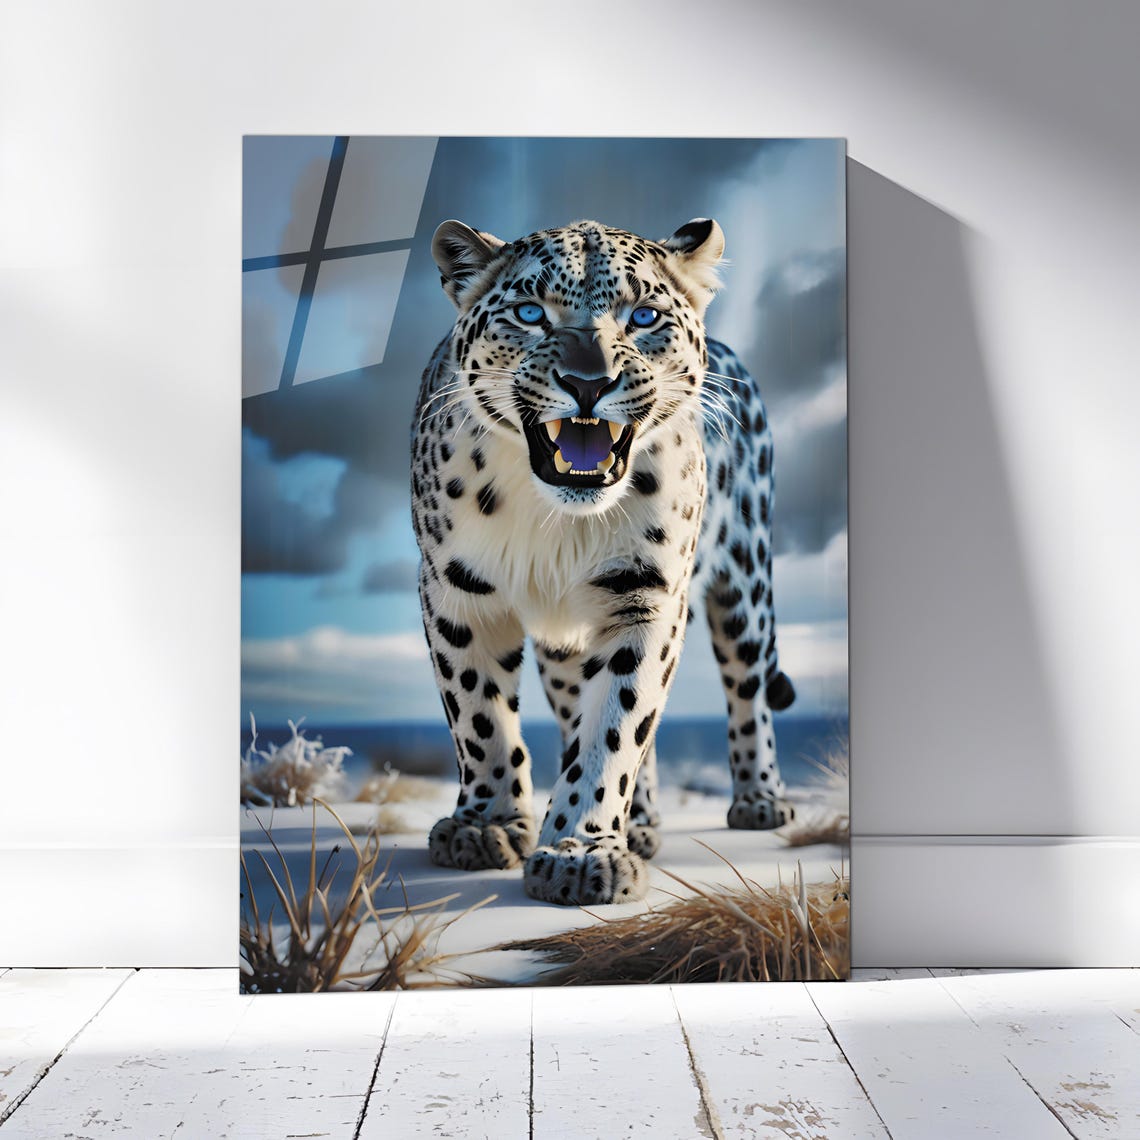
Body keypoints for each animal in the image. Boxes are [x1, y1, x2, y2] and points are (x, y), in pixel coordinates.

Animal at [410, 217, 796, 906]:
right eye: (530, 313)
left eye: (643, 316)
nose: (588, 383)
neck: (556, 519)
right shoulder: (457, 595)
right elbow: (480, 718)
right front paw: (486, 827)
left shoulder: (647, 597)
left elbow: (616, 726)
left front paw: (580, 852)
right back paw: (640, 823)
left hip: (745, 585)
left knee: (748, 688)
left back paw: (759, 800)